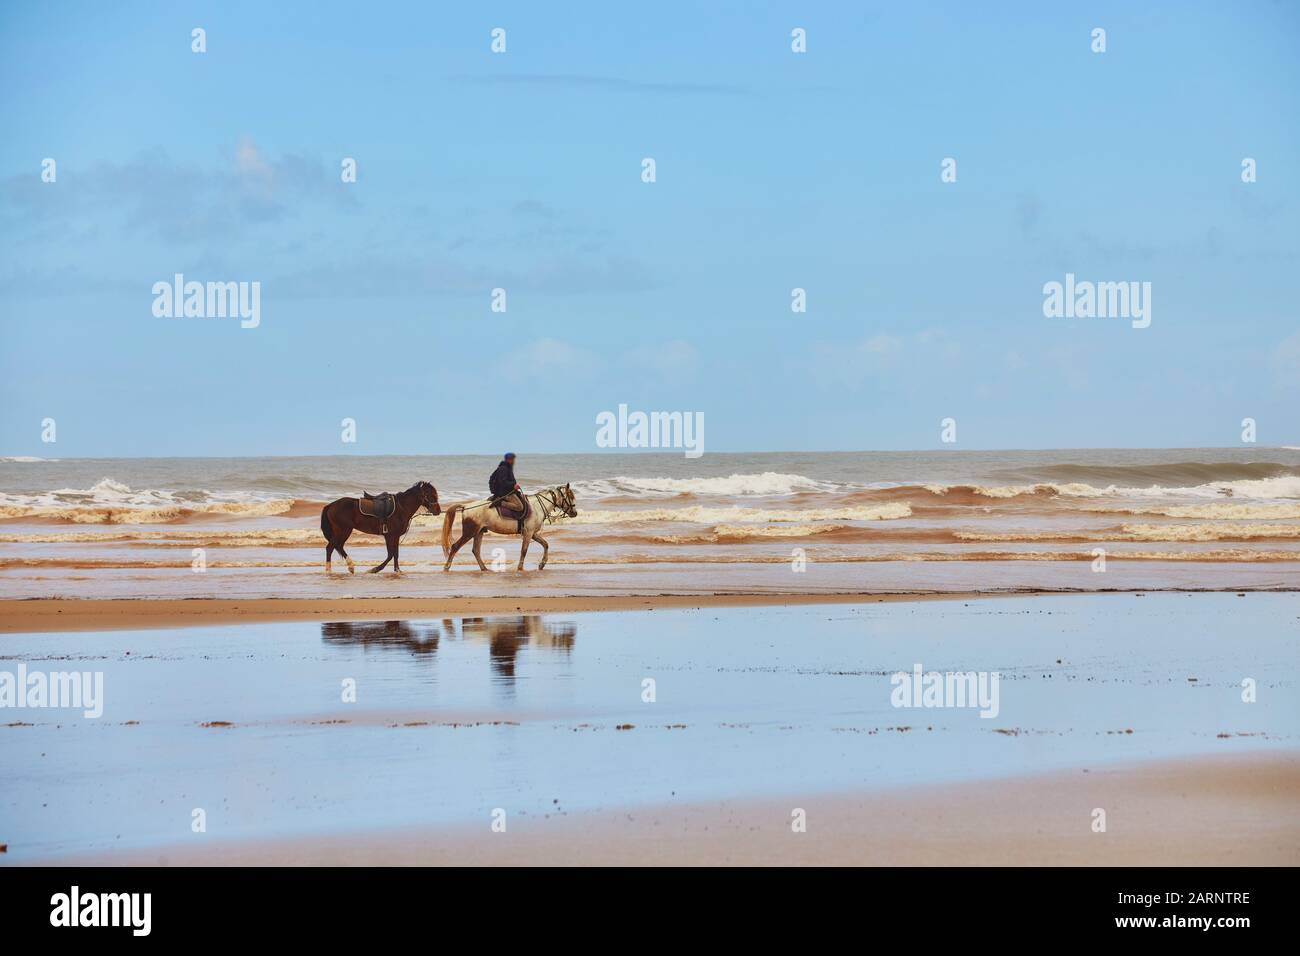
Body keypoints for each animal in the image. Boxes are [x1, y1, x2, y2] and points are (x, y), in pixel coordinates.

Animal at [440, 484, 577, 572]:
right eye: (570, 497)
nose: (574, 513)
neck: (536, 506)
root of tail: (466, 506)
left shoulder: (532, 533)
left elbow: (545, 544)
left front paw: (542, 564)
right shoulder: (528, 533)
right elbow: (524, 550)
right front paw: (520, 568)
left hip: (479, 532)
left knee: (476, 550)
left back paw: (484, 569)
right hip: (470, 532)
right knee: (455, 547)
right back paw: (447, 567)